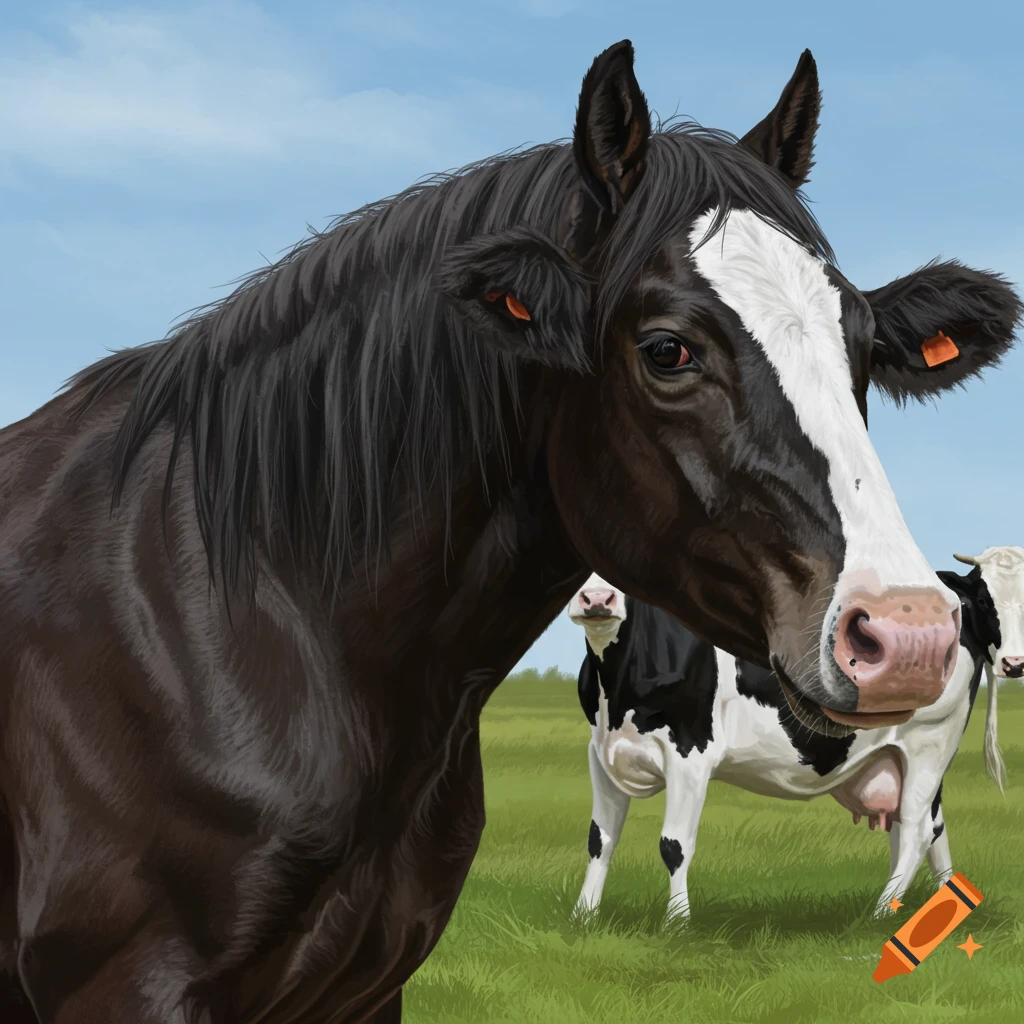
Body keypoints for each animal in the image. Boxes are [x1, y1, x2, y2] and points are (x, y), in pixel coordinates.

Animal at [567, 556, 1016, 923]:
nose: (597, 599)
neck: (618, 682)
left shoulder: (690, 755)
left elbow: (674, 845)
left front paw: (677, 923)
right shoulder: (599, 752)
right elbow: (598, 840)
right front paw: (583, 918)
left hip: (930, 743)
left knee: (917, 832)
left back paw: (878, 916)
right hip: (904, 758)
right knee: (926, 826)